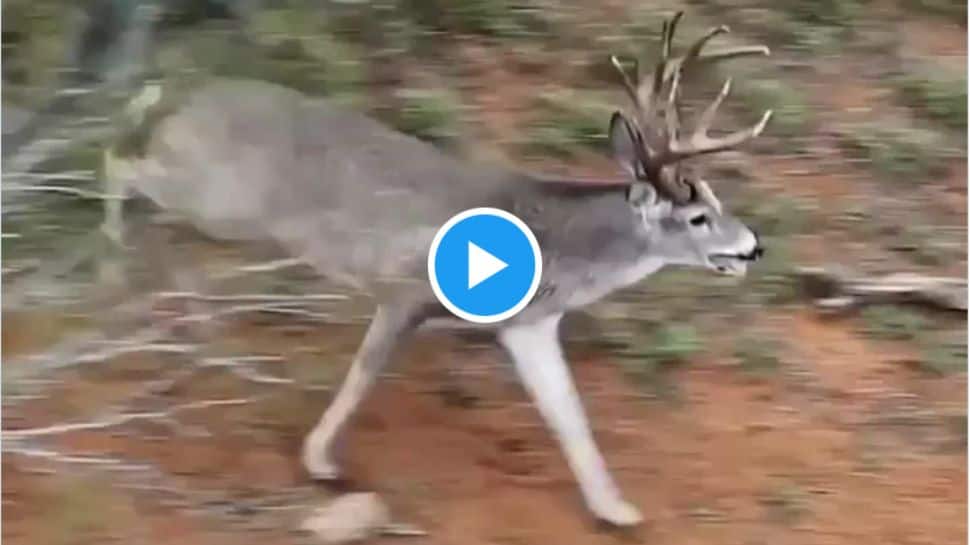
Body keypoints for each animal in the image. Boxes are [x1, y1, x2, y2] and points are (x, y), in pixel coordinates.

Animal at [101, 11, 771, 526]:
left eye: (718, 200)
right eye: (698, 218)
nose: (751, 246)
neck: (554, 243)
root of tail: (190, 92)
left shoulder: (529, 325)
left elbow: (568, 414)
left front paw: (616, 510)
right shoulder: (405, 290)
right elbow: (362, 375)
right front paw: (320, 462)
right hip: (220, 199)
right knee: (121, 156)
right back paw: (111, 248)